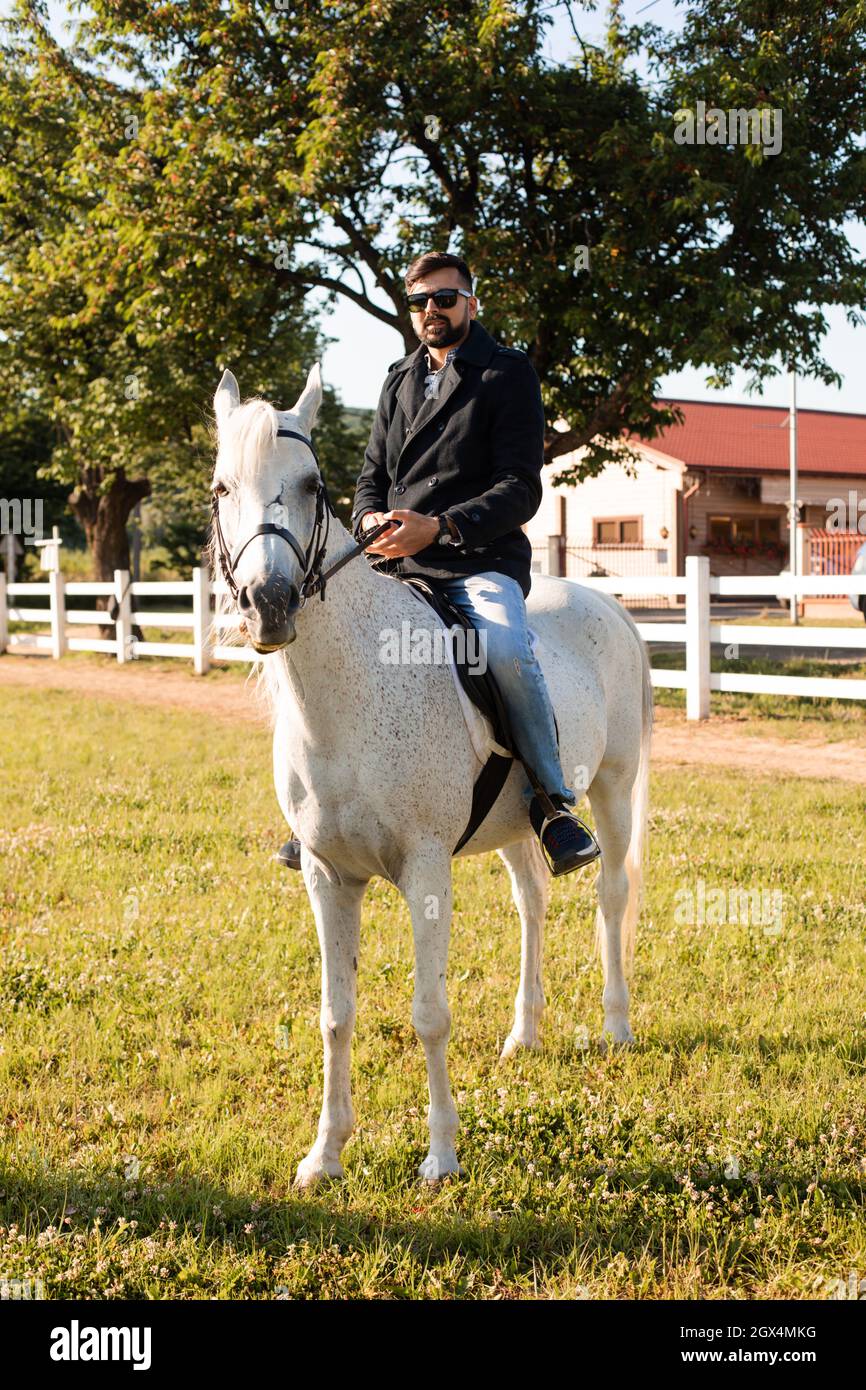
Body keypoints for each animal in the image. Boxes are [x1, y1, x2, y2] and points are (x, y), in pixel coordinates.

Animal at [210, 363, 653, 1187]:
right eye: (223, 487)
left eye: (311, 485)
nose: (268, 605)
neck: (350, 692)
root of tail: (606, 604)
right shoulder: (326, 876)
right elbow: (336, 1014)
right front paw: (325, 1154)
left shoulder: (424, 870)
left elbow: (429, 1013)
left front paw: (442, 1154)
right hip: (519, 824)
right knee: (533, 901)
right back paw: (523, 1034)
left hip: (612, 786)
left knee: (611, 895)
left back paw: (615, 1026)